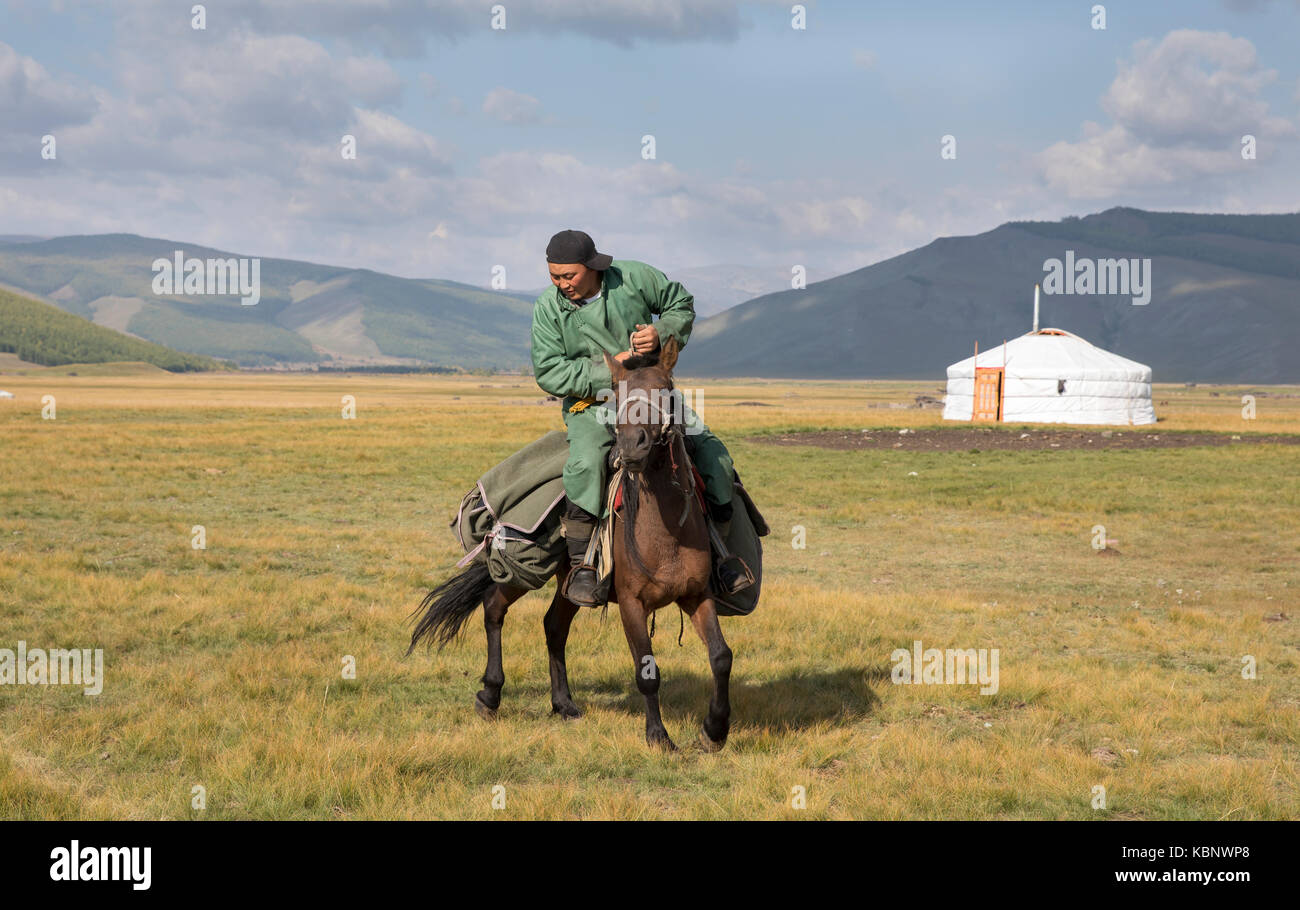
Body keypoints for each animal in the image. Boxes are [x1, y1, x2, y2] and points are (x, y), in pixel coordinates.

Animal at [407, 335, 732, 752]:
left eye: (665, 391)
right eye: (616, 394)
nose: (632, 447)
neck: (666, 534)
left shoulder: (696, 595)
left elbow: (721, 656)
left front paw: (714, 729)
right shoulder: (632, 604)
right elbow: (647, 673)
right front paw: (658, 736)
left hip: (569, 582)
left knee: (553, 627)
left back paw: (563, 704)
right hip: (525, 572)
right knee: (494, 607)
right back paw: (490, 695)